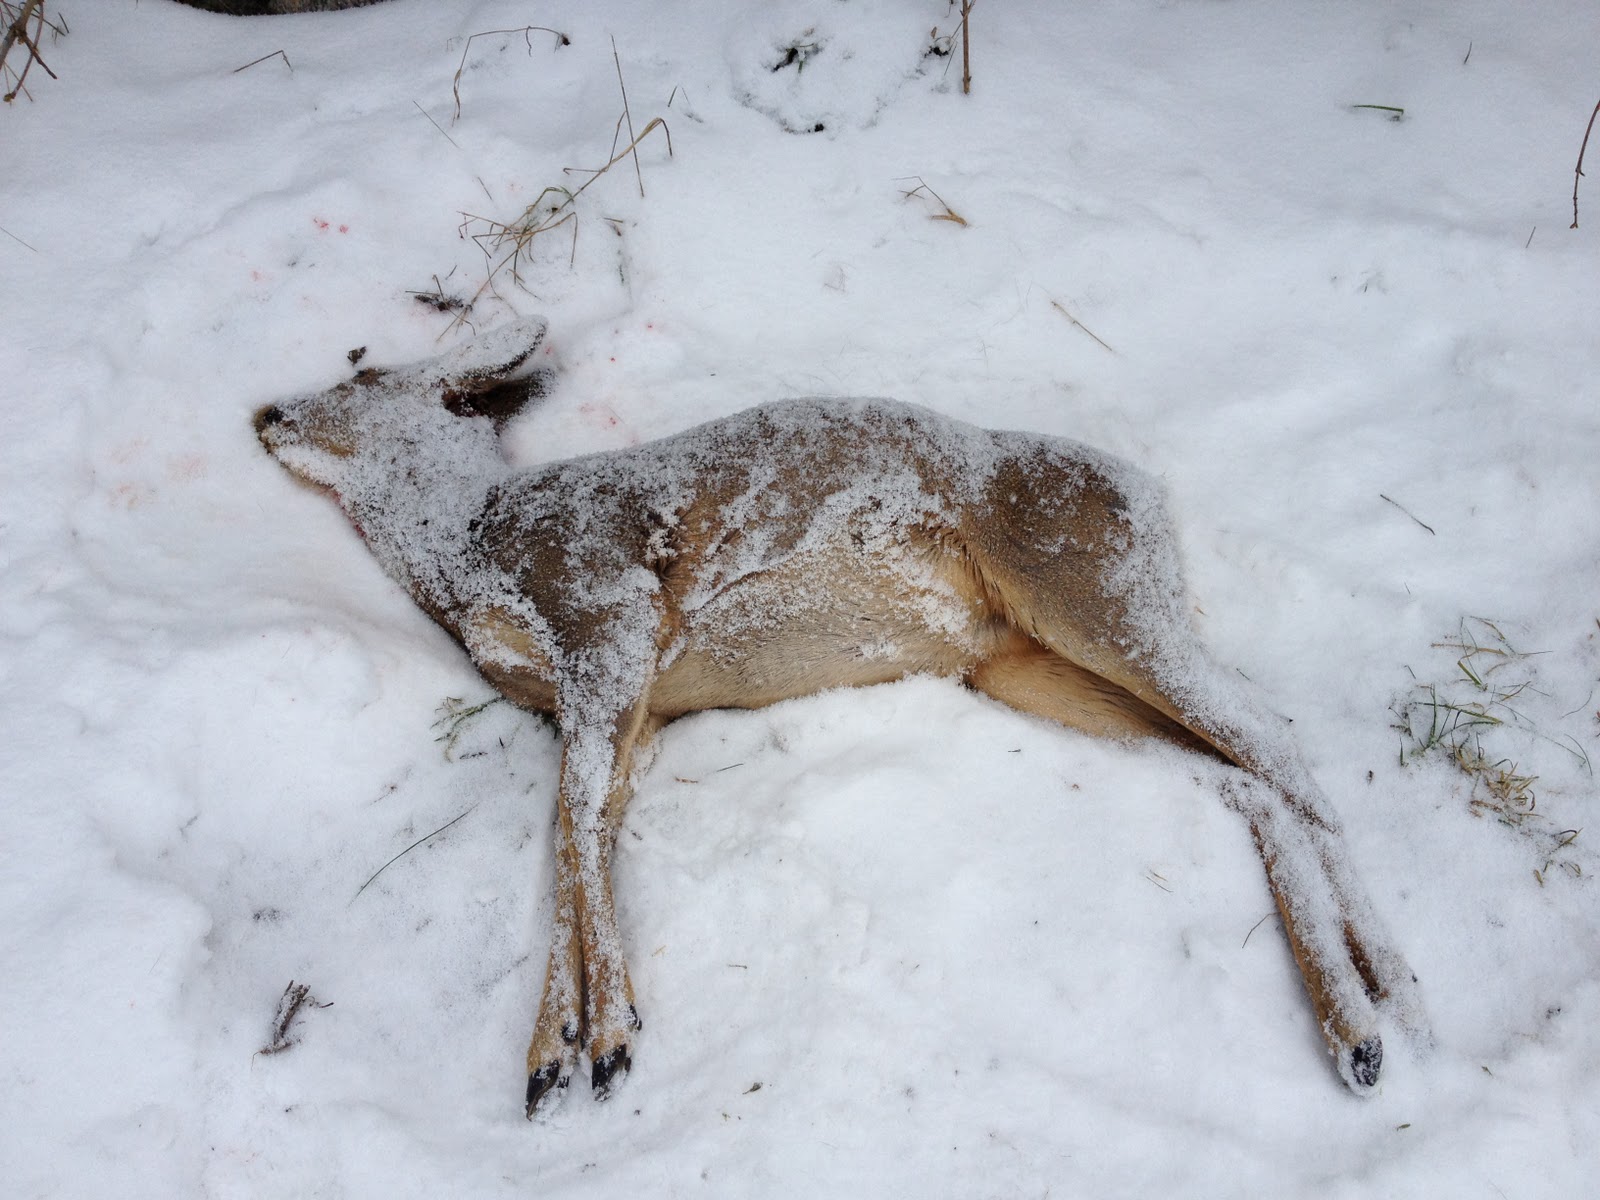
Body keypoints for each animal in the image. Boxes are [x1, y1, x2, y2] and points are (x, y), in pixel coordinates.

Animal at [253, 316, 1419, 1117]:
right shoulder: (631, 706)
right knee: (1237, 772)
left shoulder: (607, 615)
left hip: (1094, 594)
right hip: (1023, 667)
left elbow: (573, 827)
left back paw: (1395, 988)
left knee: (1274, 734)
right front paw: (568, 1046)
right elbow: (578, 831)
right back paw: (1356, 1032)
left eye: (361, 375)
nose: (264, 413)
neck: (469, 551)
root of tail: (1150, 501)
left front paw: (591, 1046)